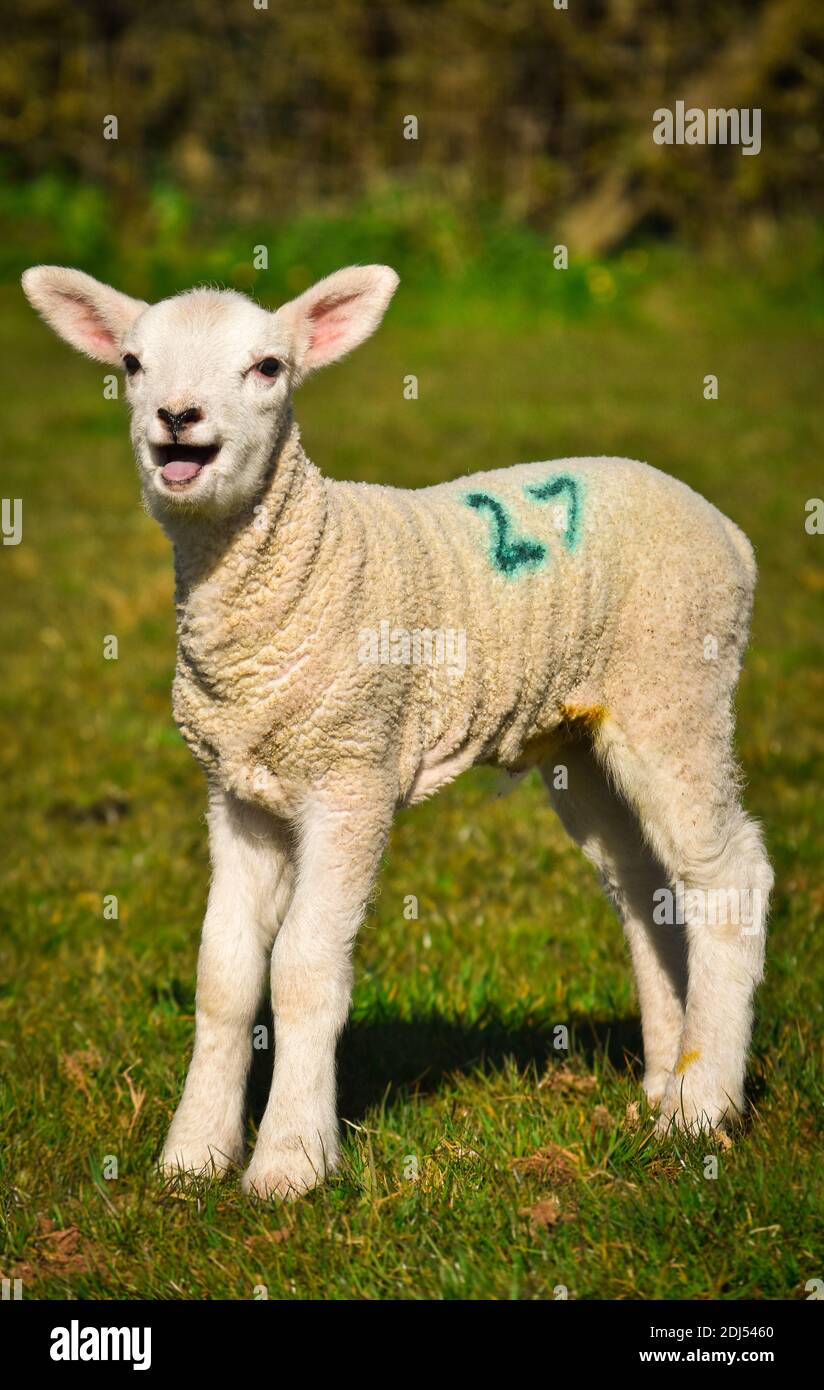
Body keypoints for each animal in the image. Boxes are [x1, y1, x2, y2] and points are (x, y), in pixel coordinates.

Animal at [22, 262, 773, 1199]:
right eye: (130, 362)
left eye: (268, 366)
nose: (178, 417)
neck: (299, 565)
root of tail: (729, 532)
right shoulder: (239, 788)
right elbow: (224, 973)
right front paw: (192, 1157)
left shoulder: (353, 770)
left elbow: (303, 968)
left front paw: (289, 1162)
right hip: (585, 737)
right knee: (645, 889)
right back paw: (665, 1084)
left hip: (675, 684)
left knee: (727, 876)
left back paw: (704, 1110)